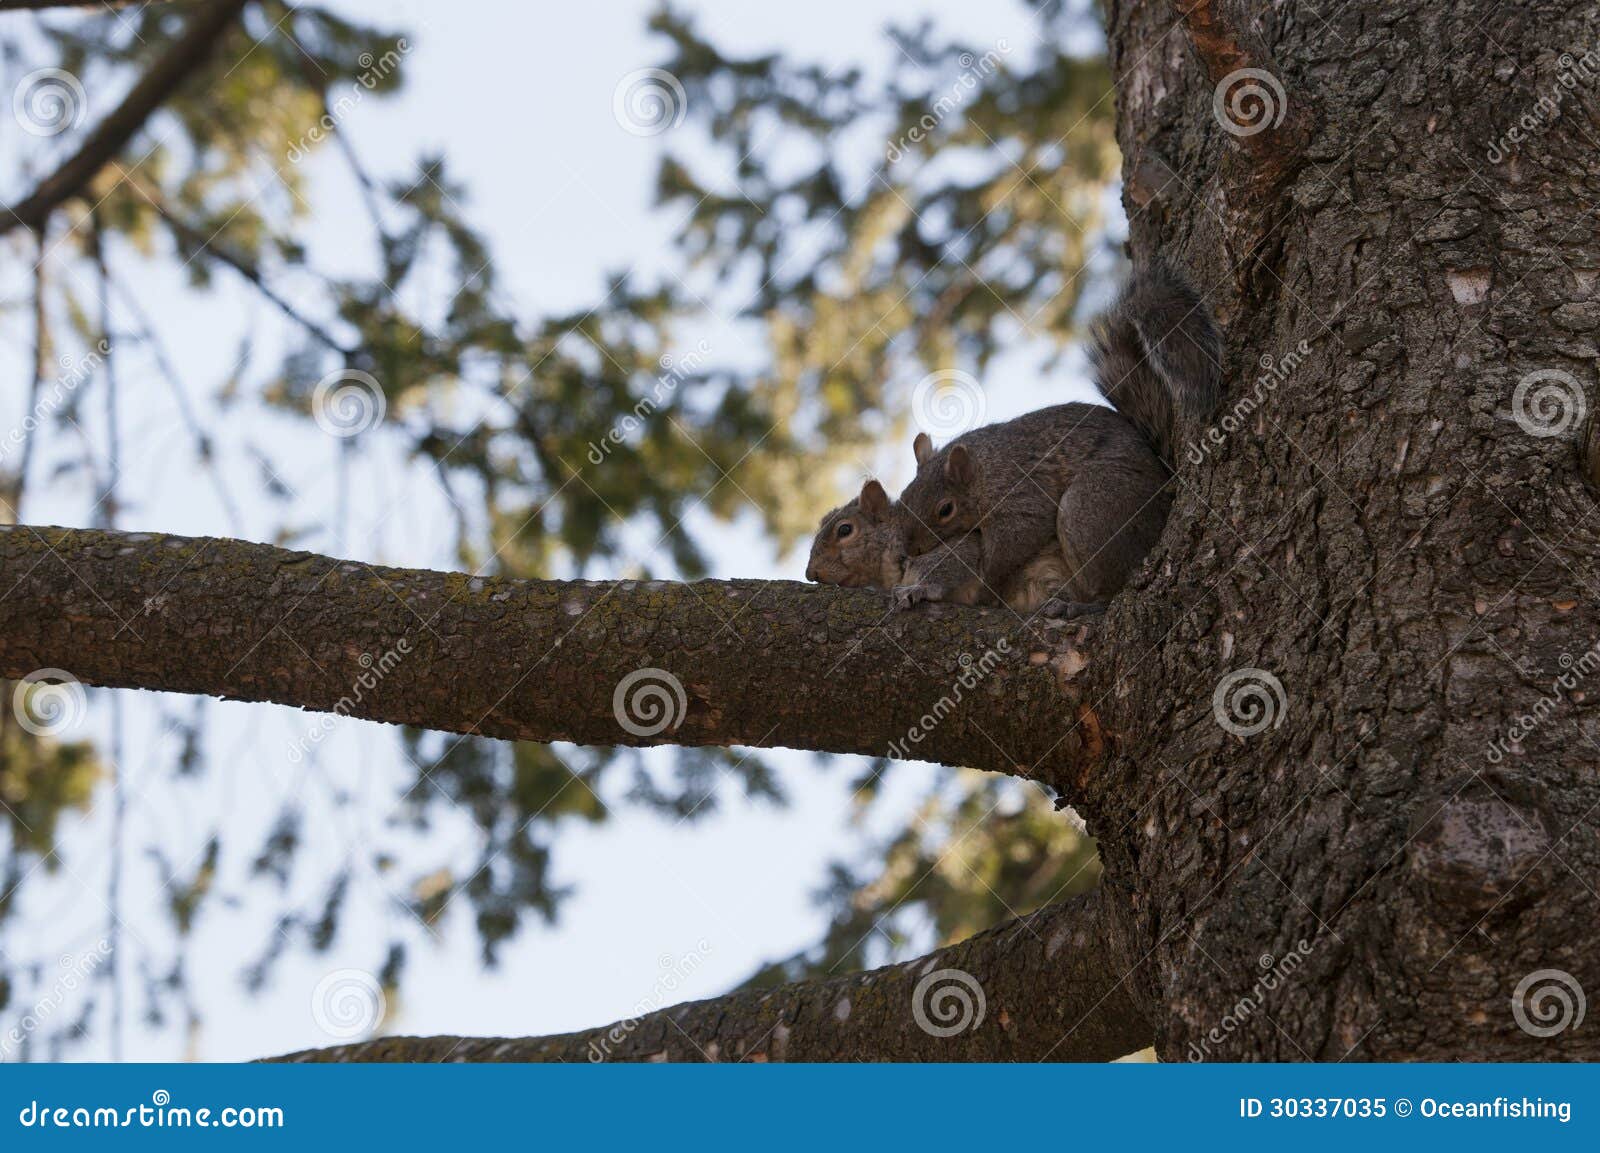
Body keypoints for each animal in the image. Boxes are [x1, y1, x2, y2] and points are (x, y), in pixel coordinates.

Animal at [893, 261, 1220, 616]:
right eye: (904, 499)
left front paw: (980, 582)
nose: (909, 550)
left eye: (945, 509)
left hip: (1092, 509)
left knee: (1107, 584)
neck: (982, 470)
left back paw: (1079, 606)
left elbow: (1008, 546)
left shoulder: (1019, 499)